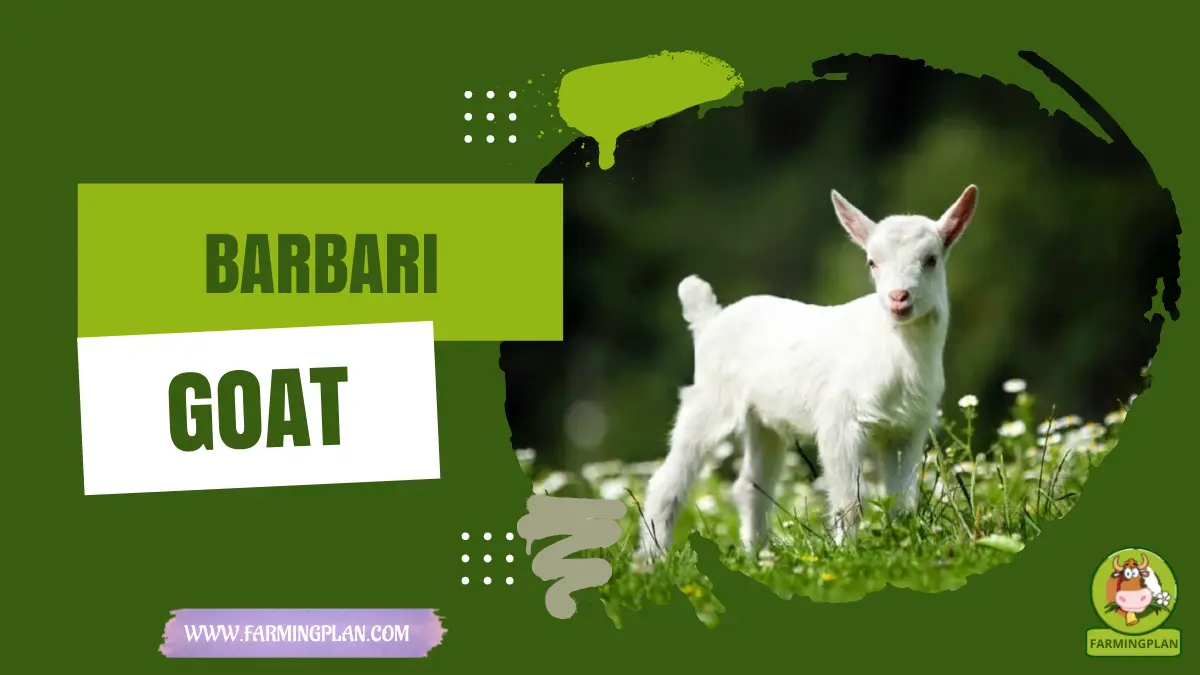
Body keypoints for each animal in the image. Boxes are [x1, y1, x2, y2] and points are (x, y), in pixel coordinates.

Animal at [635, 185, 979, 563]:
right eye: (872, 262)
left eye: (931, 259)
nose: (898, 298)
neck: (894, 351)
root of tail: (710, 319)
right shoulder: (840, 422)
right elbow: (849, 500)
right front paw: (847, 553)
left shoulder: (908, 428)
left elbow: (902, 500)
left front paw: (905, 541)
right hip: (711, 399)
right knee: (668, 479)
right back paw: (652, 559)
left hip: (762, 420)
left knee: (751, 484)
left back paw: (758, 554)